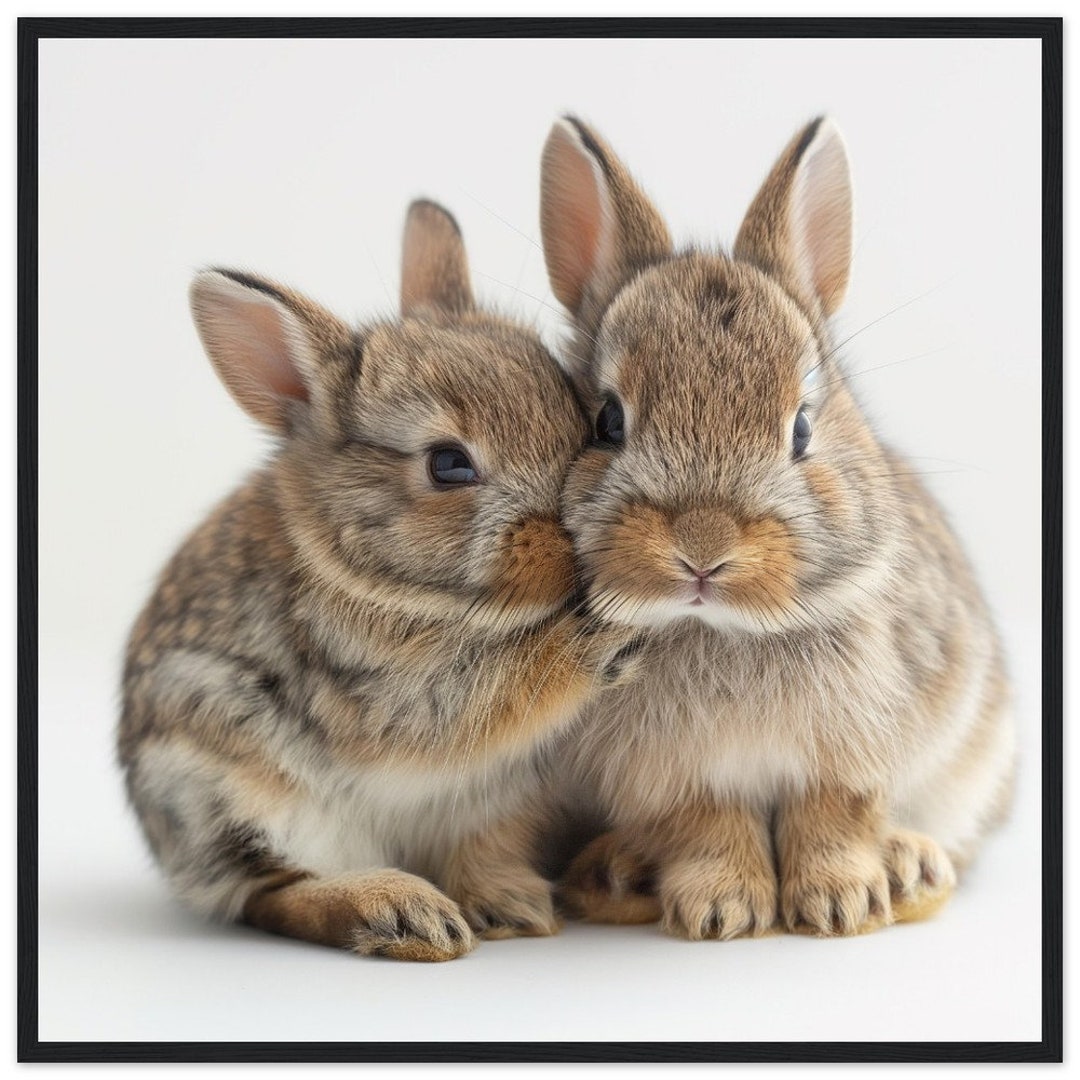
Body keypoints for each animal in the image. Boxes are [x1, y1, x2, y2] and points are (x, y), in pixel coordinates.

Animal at [117, 199, 641, 962]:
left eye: (579, 414)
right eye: (448, 464)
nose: (576, 546)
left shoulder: (504, 800)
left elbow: (487, 847)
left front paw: (511, 904)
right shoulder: (372, 690)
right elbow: (488, 698)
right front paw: (602, 636)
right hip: (218, 785)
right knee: (269, 895)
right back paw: (401, 913)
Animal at [537, 116, 1015, 940]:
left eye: (801, 429)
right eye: (607, 422)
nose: (703, 548)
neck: (720, 628)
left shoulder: (851, 760)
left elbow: (833, 820)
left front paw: (842, 904)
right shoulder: (677, 778)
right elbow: (707, 827)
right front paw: (724, 910)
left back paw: (910, 867)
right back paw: (616, 874)